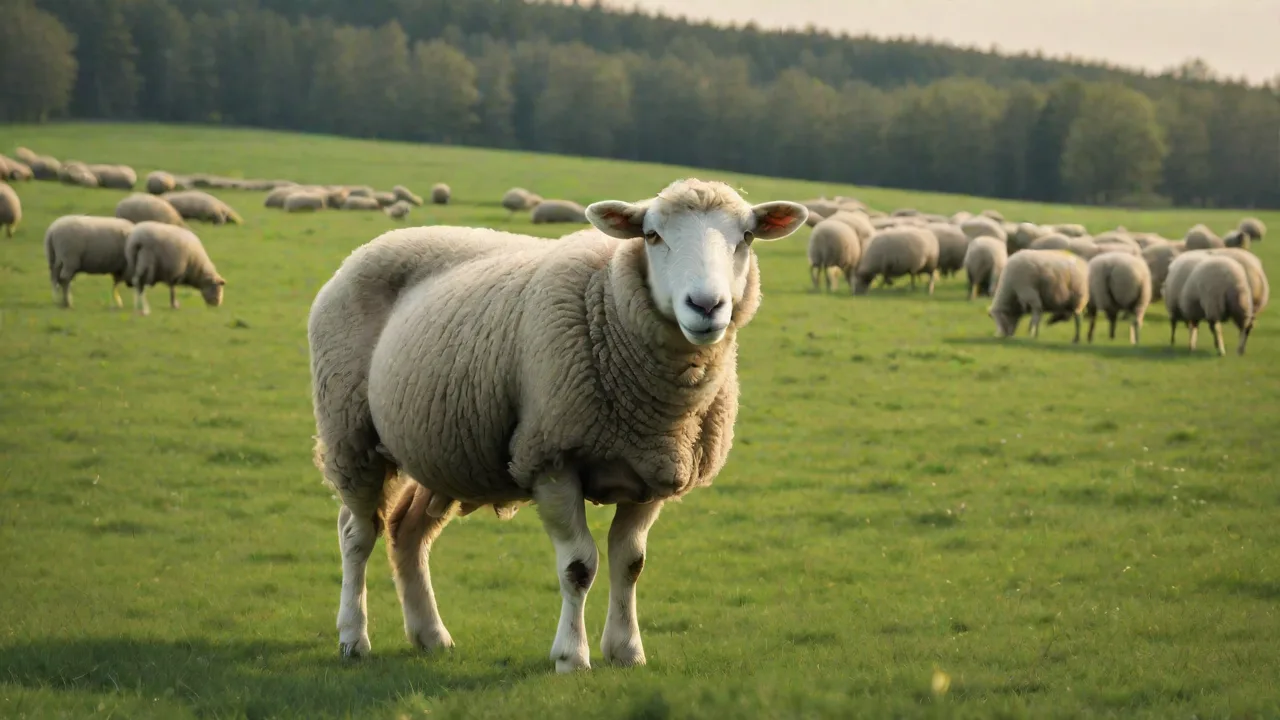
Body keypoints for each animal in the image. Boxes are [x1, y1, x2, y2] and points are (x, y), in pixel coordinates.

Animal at [306, 178, 807, 670]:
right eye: (652, 235)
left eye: (746, 237)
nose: (706, 306)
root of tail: (376, 243)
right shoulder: (550, 458)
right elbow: (578, 566)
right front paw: (570, 656)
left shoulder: (654, 468)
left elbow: (631, 562)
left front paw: (627, 650)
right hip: (350, 433)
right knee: (357, 533)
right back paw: (353, 637)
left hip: (440, 450)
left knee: (406, 532)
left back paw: (431, 636)